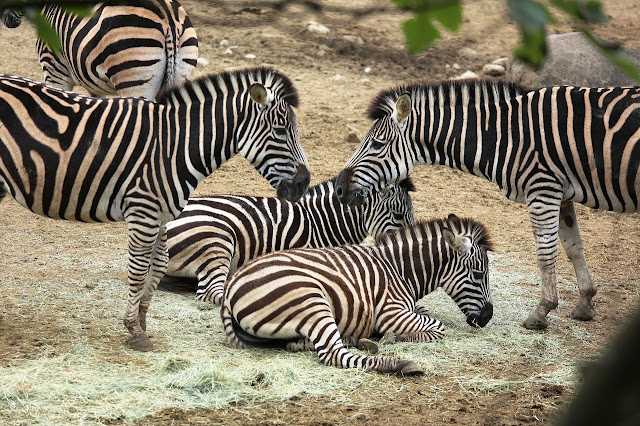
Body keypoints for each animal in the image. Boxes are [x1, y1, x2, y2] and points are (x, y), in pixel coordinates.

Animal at [0, 67, 310, 351]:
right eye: (280, 131)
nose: (304, 183)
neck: (174, 146)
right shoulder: (143, 210)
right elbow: (138, 270)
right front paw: (135, 331)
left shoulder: (160, 213)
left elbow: (159, 263)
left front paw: (142, 322)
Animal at [2, 0, 198, 99]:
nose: (6, 18)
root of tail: (168, 16)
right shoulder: (93, 85)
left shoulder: (54, 71)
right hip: (181, 75)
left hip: (134, 80)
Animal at [221, 214, 494, 374]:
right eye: (479, 274)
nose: (487, 318)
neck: (399, 269)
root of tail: (230, 288)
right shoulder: (391, 313)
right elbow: (437, 327)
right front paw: (393, 337)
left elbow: (426, 313)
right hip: (311, 299)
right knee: (333, 354)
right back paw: (399, 363)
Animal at [334, 79, 640, 330]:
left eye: (377, 144)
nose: (338, 188)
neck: (506, 135)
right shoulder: (561, 194)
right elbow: (573, 248)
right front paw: (585, 304)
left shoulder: (542, 189)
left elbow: (545, 253)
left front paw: (542, 311)